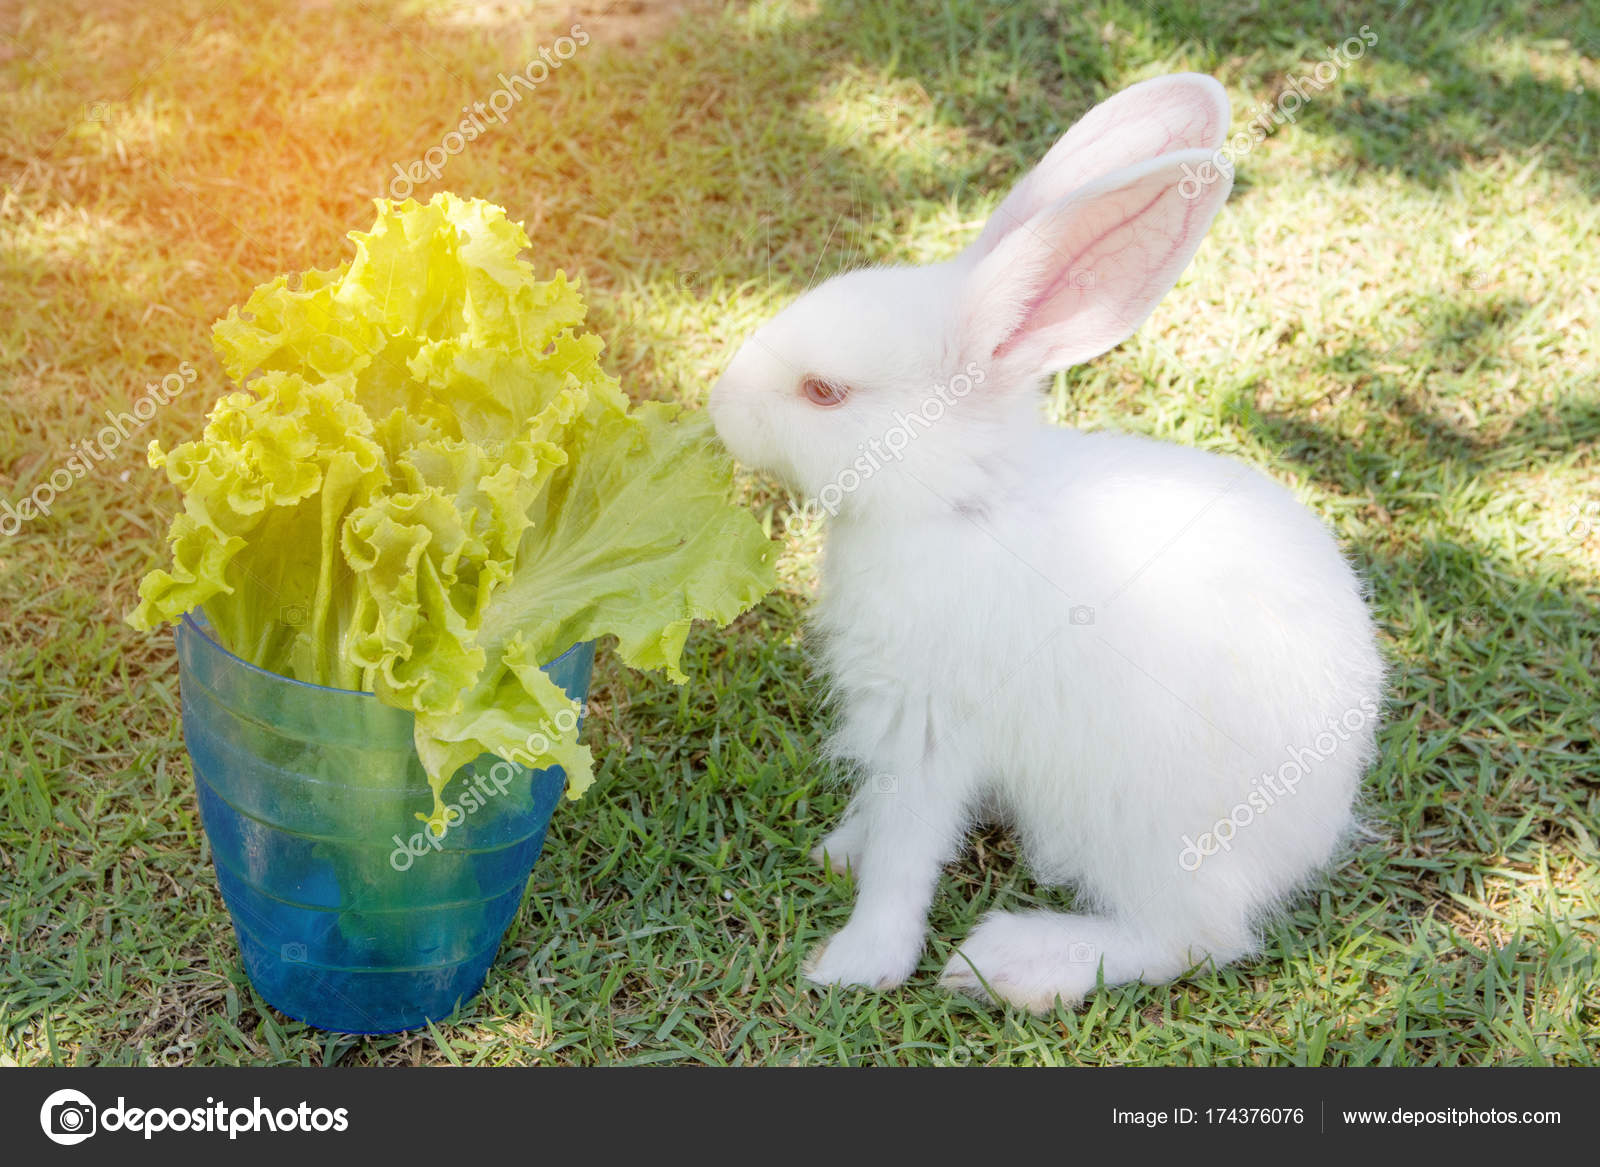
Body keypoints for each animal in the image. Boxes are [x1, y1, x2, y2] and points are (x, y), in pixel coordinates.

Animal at [708, 73, 1386, 1013]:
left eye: (824, 392)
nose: (716, 402)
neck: (958, 505)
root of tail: (1314, 830)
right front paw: (839, 849)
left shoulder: (927, 725)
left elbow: (906, 854)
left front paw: (856, 962)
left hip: (1145, 834)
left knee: (1193, 939)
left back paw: (1006, 963)